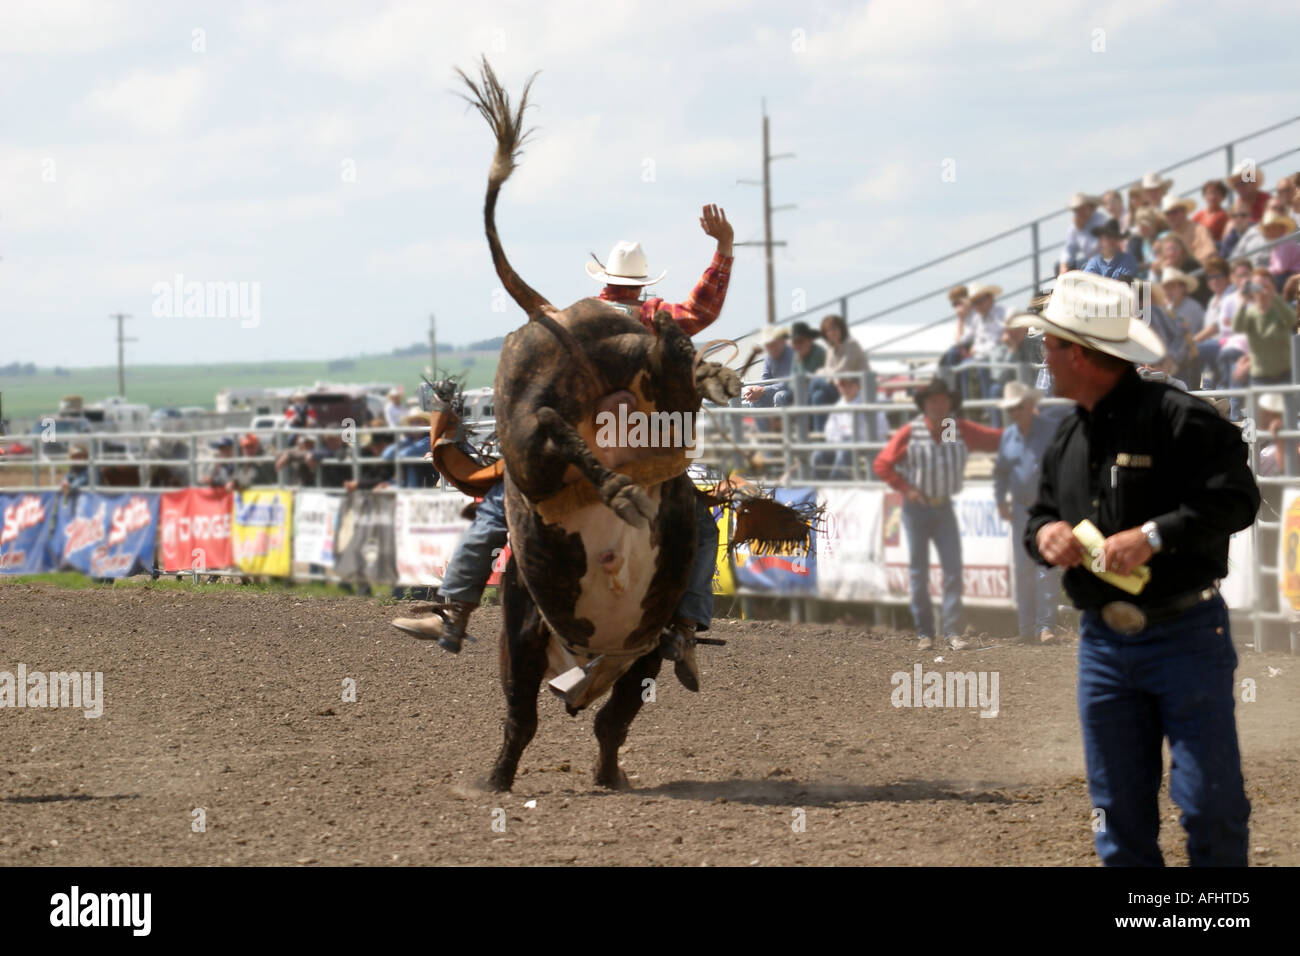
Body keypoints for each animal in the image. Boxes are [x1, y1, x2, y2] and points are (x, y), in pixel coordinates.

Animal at [457, 59, 741, 791]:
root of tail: (557, 313)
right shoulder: (540, 636)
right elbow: (531, 716)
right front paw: (500, 779)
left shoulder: (636, 647)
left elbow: (602, 718)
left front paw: (605, 776)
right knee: (627, 387)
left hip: (532, 427)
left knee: (555, 422)